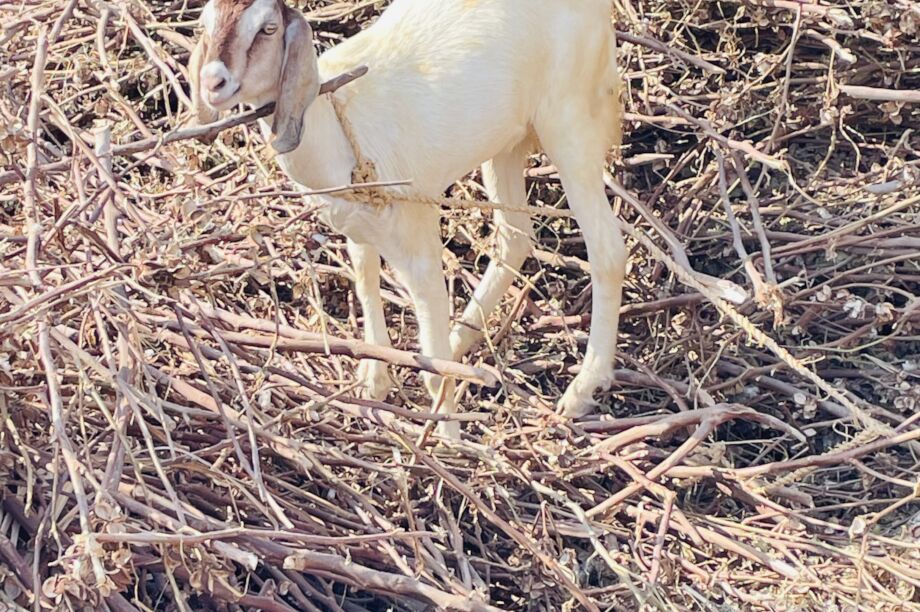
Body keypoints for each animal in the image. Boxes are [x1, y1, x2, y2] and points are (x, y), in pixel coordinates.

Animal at [189, 0, 625, 439]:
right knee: (514, 239)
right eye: (205, 23)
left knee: (607, 249)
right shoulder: (357, 229)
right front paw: (375, 380)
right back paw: (459, 341)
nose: (213, 81)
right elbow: (365, 282)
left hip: (568, 122)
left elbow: (432, 357)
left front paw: (448, 439)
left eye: (268, 28)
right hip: (509, 141)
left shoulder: (417, 242)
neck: (338, 128)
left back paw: (582, 389)